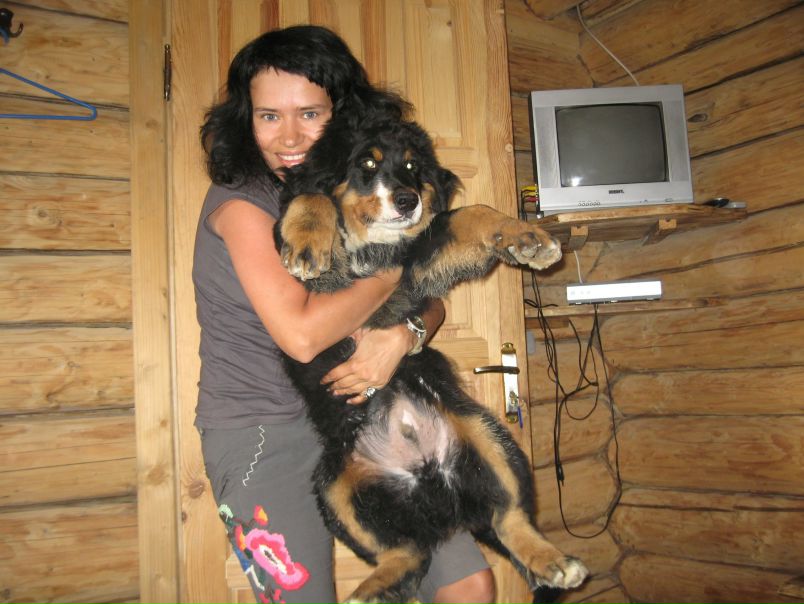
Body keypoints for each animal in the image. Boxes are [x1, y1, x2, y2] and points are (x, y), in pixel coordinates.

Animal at [274, 113, 587, 604]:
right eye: (366, 163)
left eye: (412, 167)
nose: (407, 201)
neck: (377, 247)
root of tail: (431, 484)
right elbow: (312, 194)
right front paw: (308, 241)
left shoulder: (415, 260)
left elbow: (468, 213)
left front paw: (528, 238)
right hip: (333, 486)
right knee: (408, 550)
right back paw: (376, 588)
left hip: (488, 437)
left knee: (508, 516)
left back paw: (554, 562)